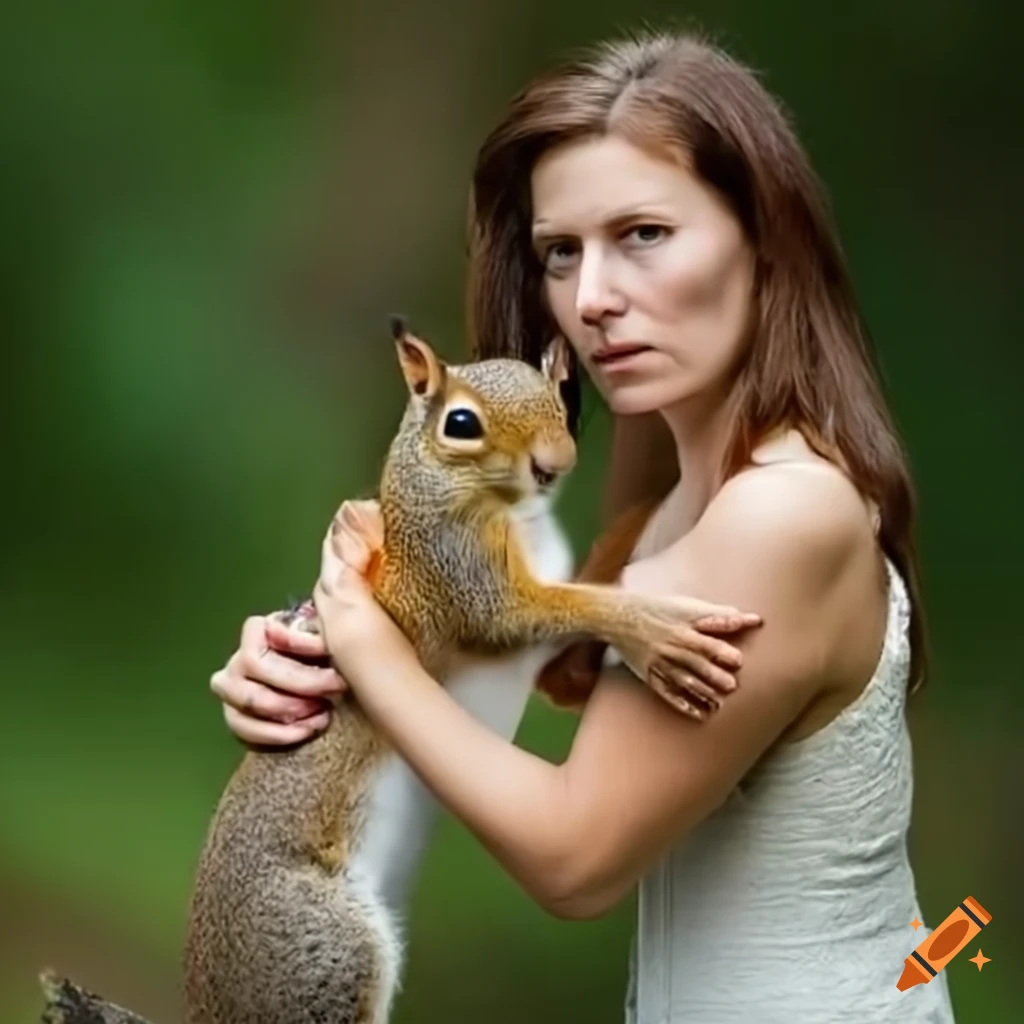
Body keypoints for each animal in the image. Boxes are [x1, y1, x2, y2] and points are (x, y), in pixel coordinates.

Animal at [39, 318, 745, 1024]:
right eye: (461, 423)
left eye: (561, 399)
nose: (554, 464)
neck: (501, 510)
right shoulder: (468, 587)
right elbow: (566, 607)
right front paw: (653, 626)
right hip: (327, 949)